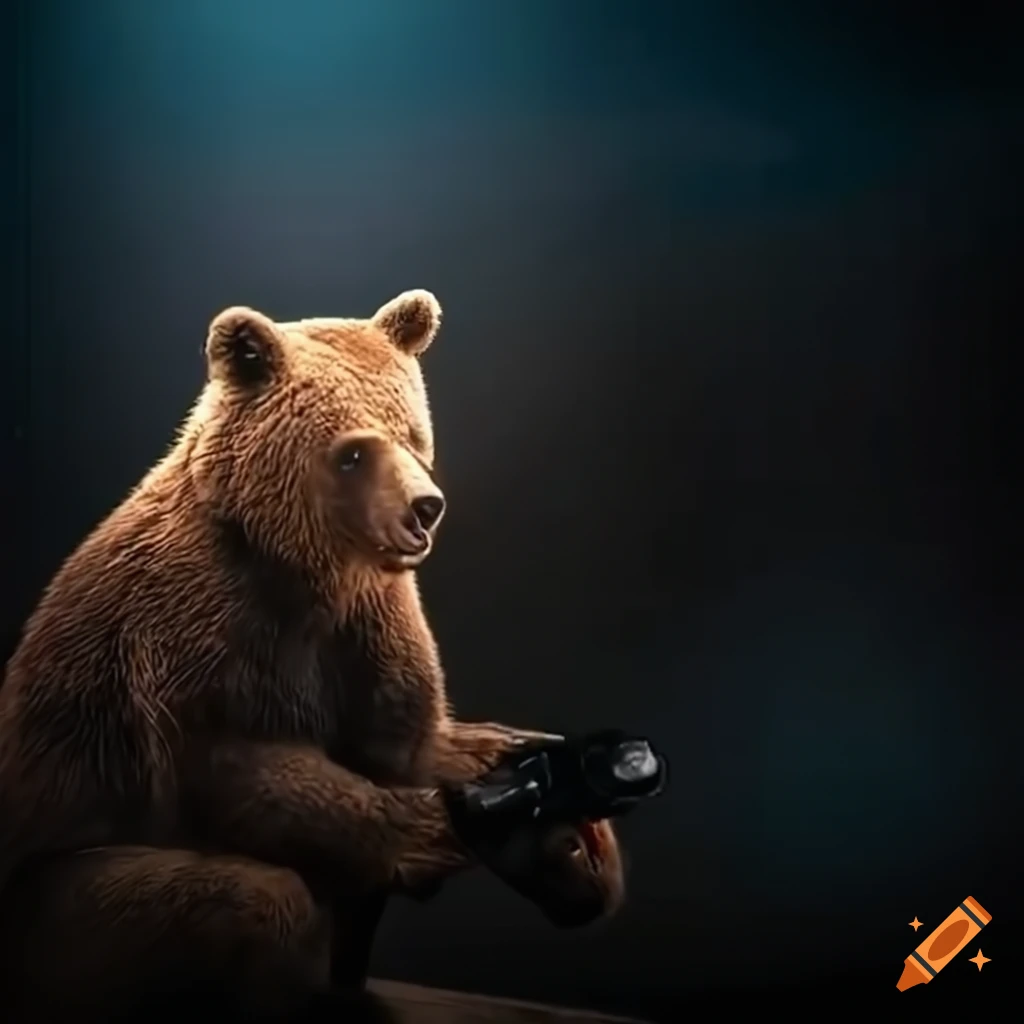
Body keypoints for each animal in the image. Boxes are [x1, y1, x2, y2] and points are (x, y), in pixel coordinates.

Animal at [0, 290, 624, 1017]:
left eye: (414, 434)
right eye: (353, 451)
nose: (425, 508)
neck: (305, 565)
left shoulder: (372, 618)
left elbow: (406, 740)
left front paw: (573, 841)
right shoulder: (188, 630)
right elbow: (242, 765)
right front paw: (446, 829)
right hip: (53, 902)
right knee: (249, 902)